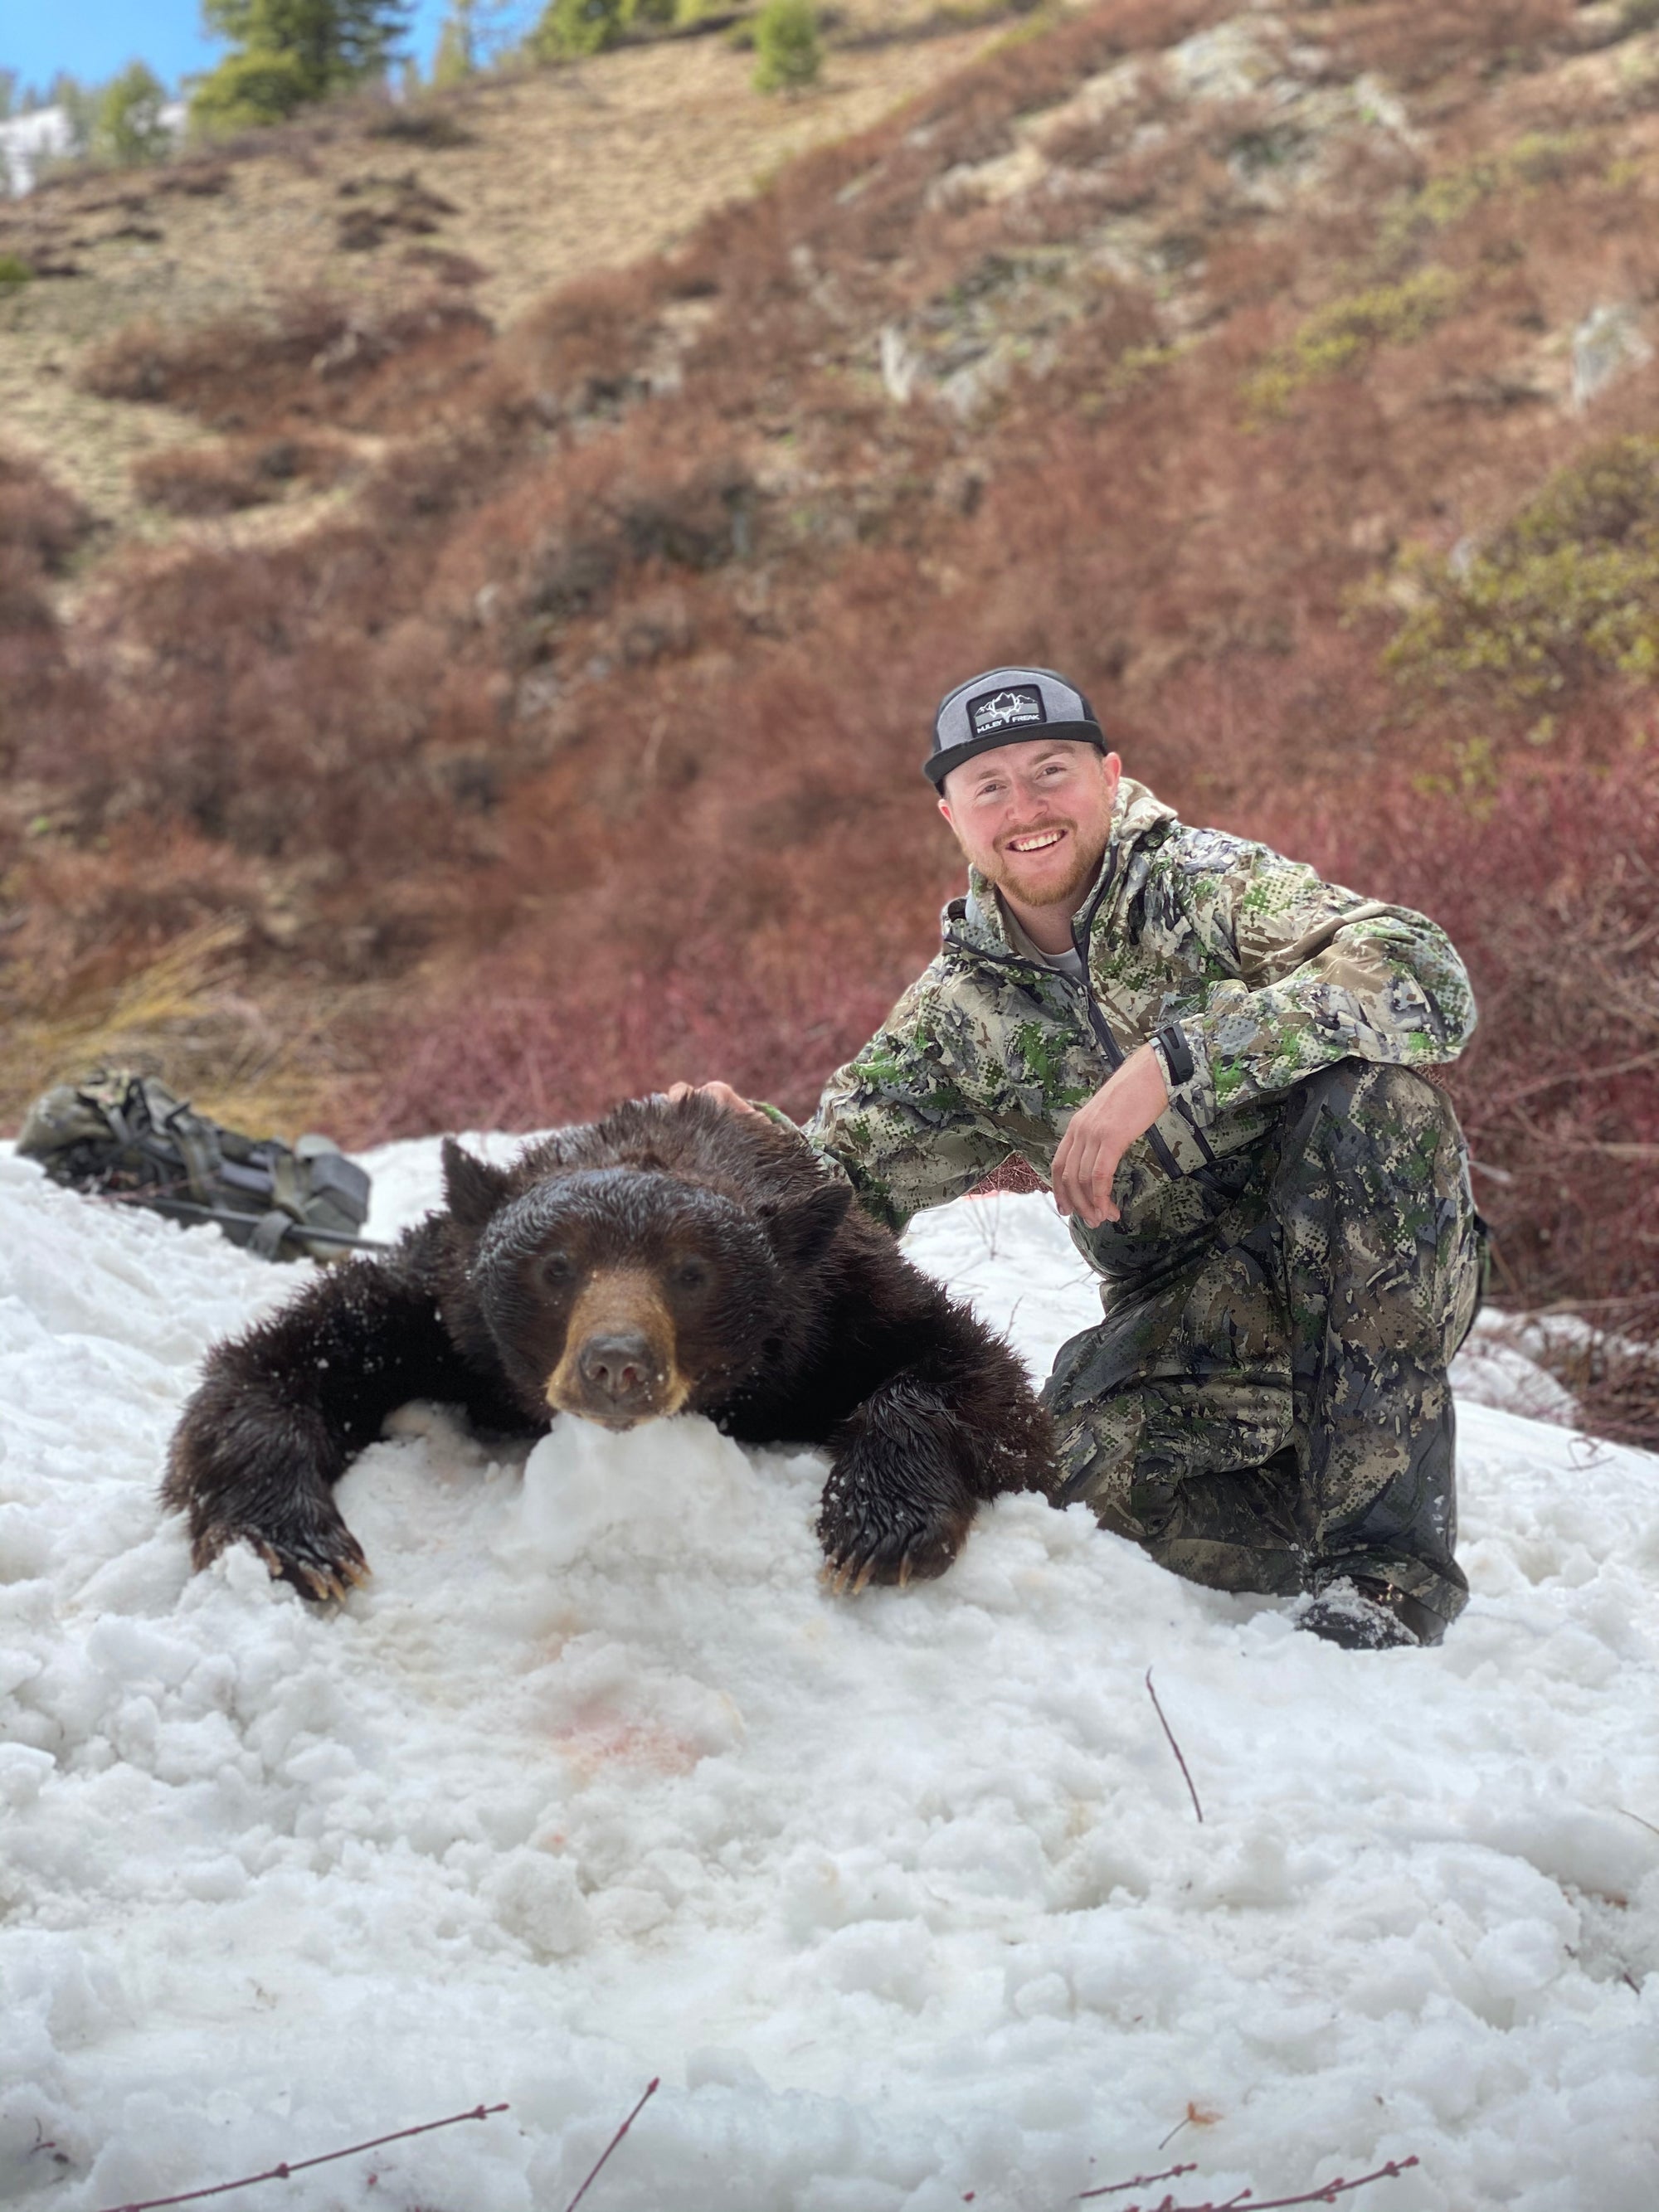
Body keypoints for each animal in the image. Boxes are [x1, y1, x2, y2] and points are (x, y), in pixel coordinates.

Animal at [163, 1092, 1055, 1599]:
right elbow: (273, 1365)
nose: (617, 1363)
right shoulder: (431, 1306)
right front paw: (295, 1541)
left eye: (692, 1273)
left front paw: (878, 1528)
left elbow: (978, 1383)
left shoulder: (845, 1307)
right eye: (557, 1266)